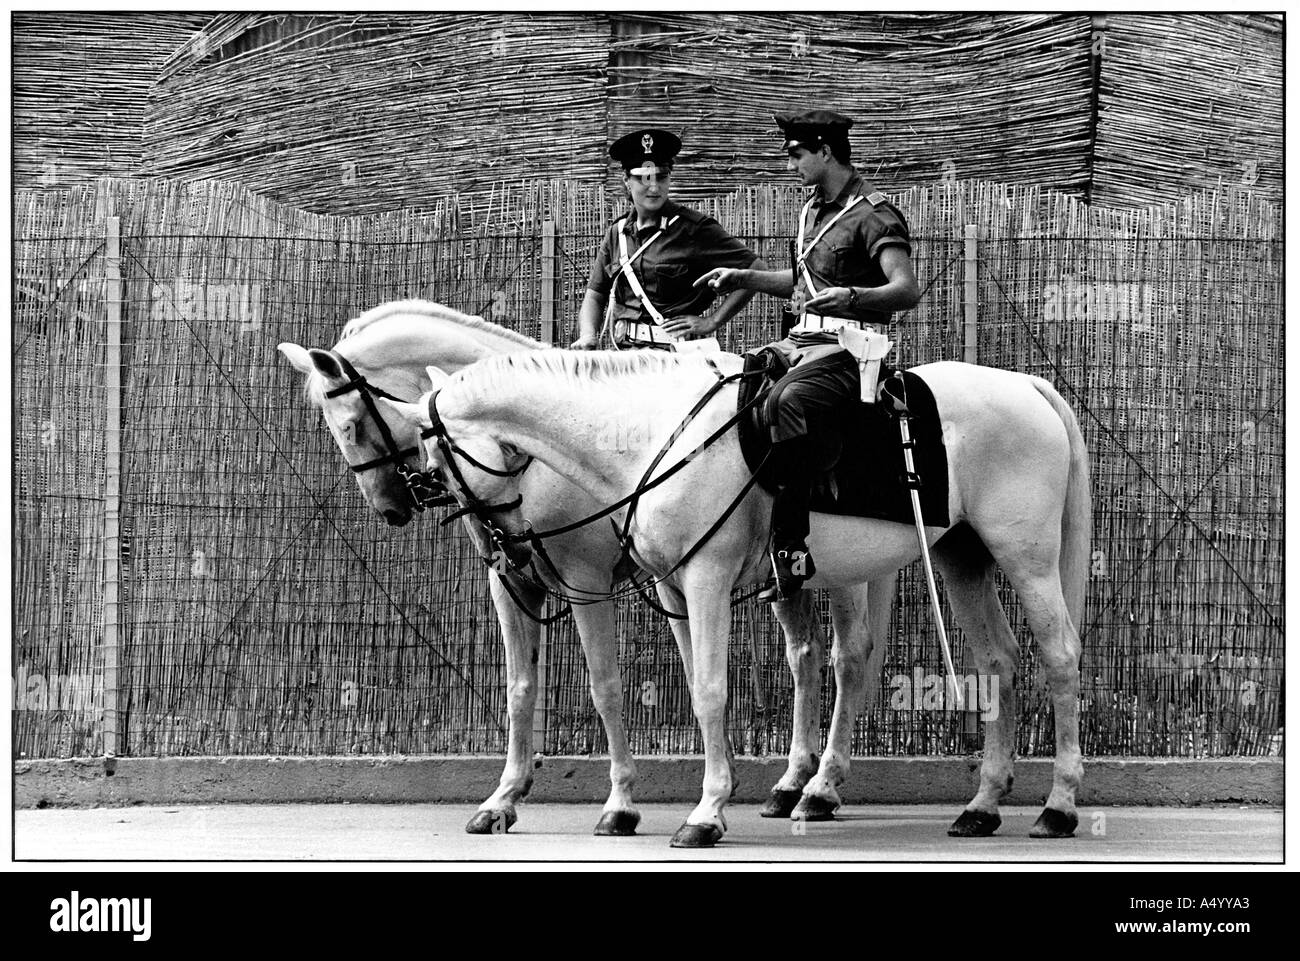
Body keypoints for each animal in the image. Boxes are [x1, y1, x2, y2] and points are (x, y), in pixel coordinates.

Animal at [278, 300, 888, 835]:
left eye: (351, 425)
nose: (391, 508)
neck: (546, 456)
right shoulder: (512, 581)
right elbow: (521, 687)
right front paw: (504, 797)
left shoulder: (585, 583)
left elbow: (605, 686)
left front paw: (621, 804)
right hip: (787, 579)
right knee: (803, 656)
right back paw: (791, 783)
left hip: (846, 573)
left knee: (847, 658)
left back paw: (822, 787)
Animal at [393, 348, 1090, 847]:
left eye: (435, 459)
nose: (509, 555)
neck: (650, 436)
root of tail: (1027, 386)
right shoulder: (672, 584)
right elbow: (581, 687)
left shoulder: (677, 580)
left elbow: (693, 689)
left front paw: (698, 812)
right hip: (962, 556)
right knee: (996, 662)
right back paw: (981, 804)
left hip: (1023, 557)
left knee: (1057, 657)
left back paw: (1056, 806)